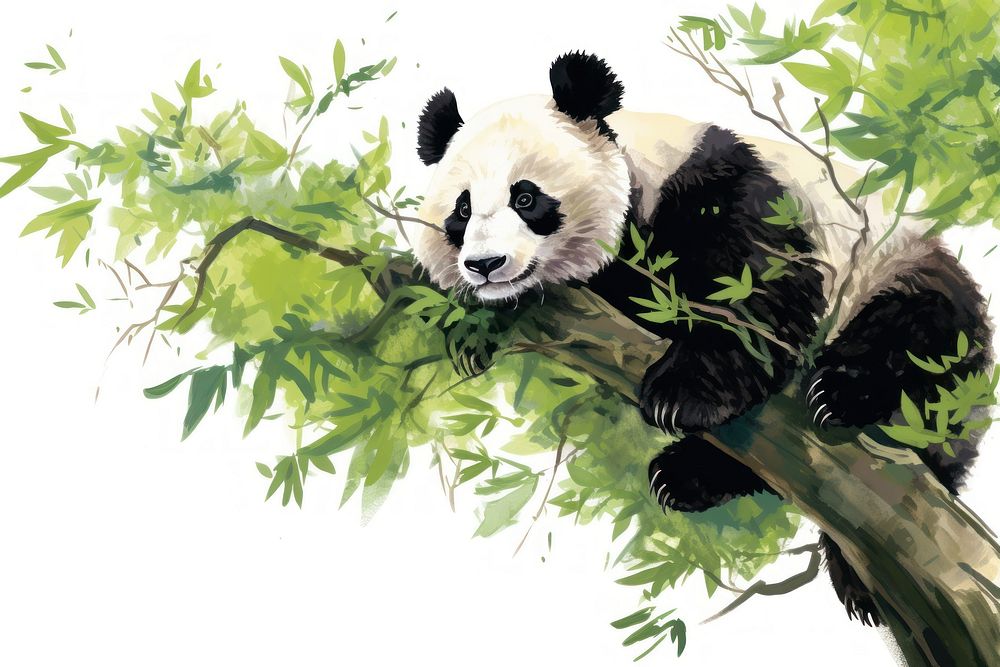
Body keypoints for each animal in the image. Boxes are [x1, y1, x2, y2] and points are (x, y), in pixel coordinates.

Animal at [409, 52, 992, 626]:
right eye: (462, 210)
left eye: (526, 197)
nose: (485, 265)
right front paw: (470, 328)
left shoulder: (725, 190)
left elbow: (755, 286)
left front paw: (682, 393)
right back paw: (687, 475)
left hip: (898, 273)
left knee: (919, 347)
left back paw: (844, 399)